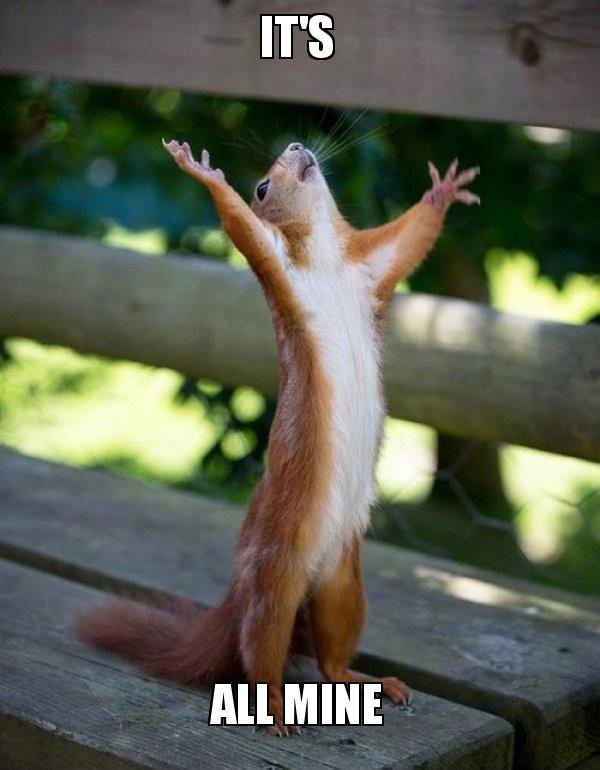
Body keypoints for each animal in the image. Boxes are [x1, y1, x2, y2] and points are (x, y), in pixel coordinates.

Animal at [78, 138, 479, 737]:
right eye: (262, 186)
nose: (296, 146)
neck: (327, 258)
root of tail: (240, 592)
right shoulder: (278, 266)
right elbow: (242, 227)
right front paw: (204, 174)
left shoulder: (371, 267)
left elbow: (408, 241)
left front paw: (443, 191)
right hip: (275, 577)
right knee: (260, 651)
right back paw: (273, 710)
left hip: (344, 583)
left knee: (332, 657)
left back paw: (368, 681)